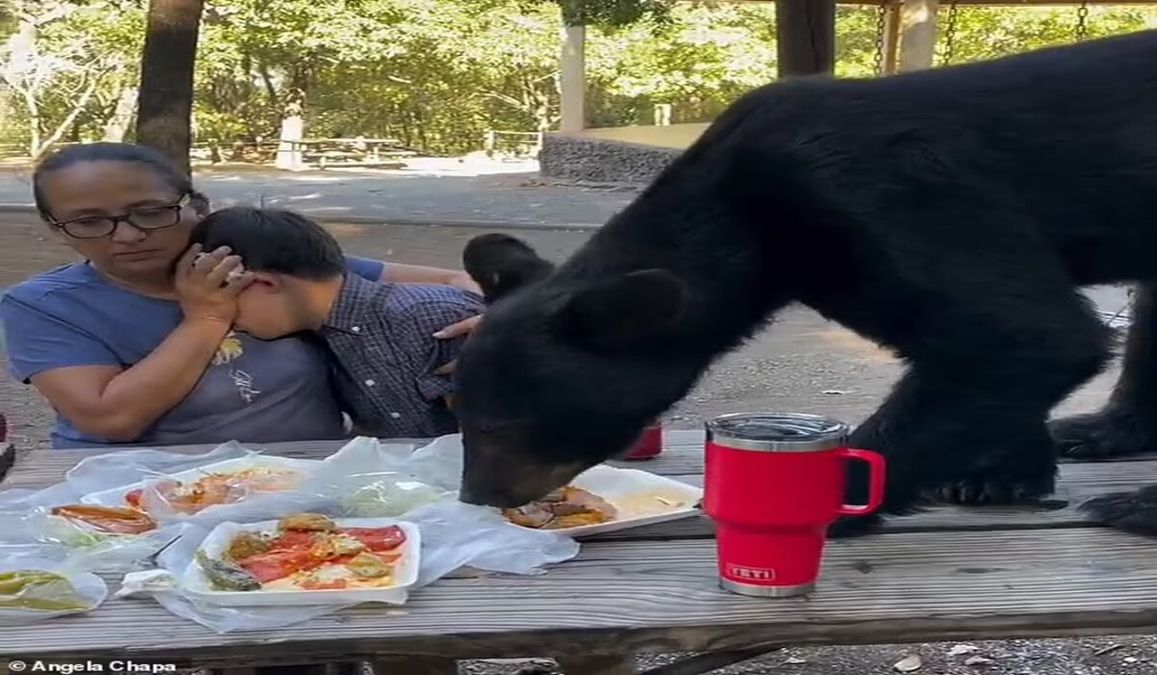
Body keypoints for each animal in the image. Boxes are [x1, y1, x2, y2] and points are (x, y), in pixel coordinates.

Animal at [452, 30, 1157, 537]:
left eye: (500, 426)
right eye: (463, 416)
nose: (477, 494)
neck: (753, 226)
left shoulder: (883, 194)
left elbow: (1023, 334)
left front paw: (838, 503)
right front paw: (1003, 473)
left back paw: (1135, 506)